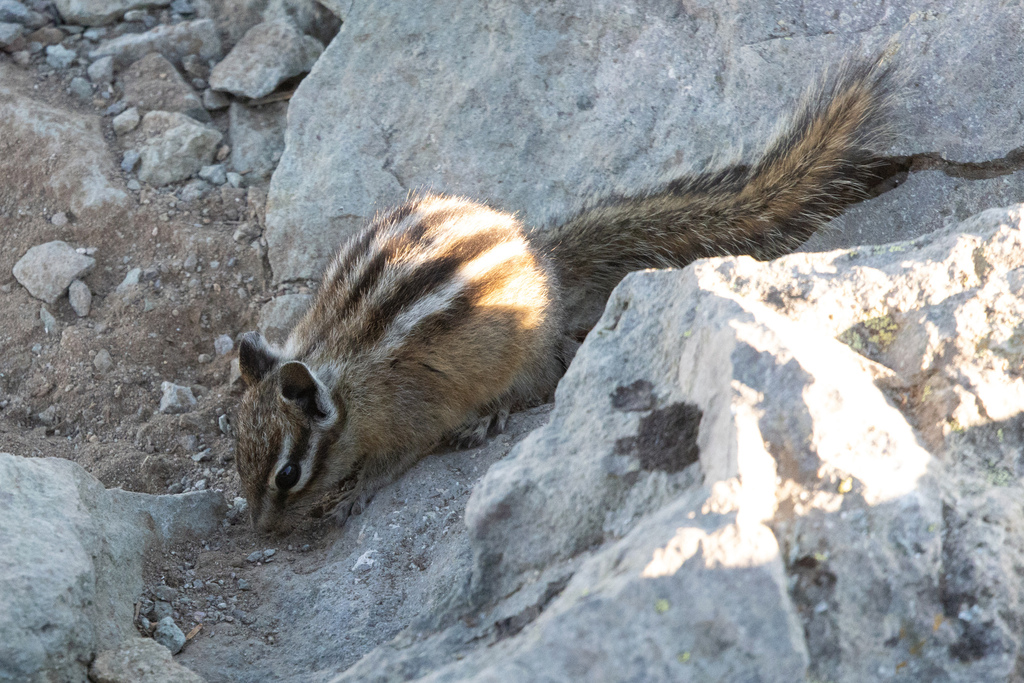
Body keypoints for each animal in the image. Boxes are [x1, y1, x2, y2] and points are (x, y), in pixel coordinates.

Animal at [235, 55, 898, 534]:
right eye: (237, 458)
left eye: (288, 474)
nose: (261, 531)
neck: (343, 376)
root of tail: (541, 255)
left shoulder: (414, 412)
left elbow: (396, 460)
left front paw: (355, 496)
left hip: (520, 355)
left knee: (544, 379)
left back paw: (490, 415)